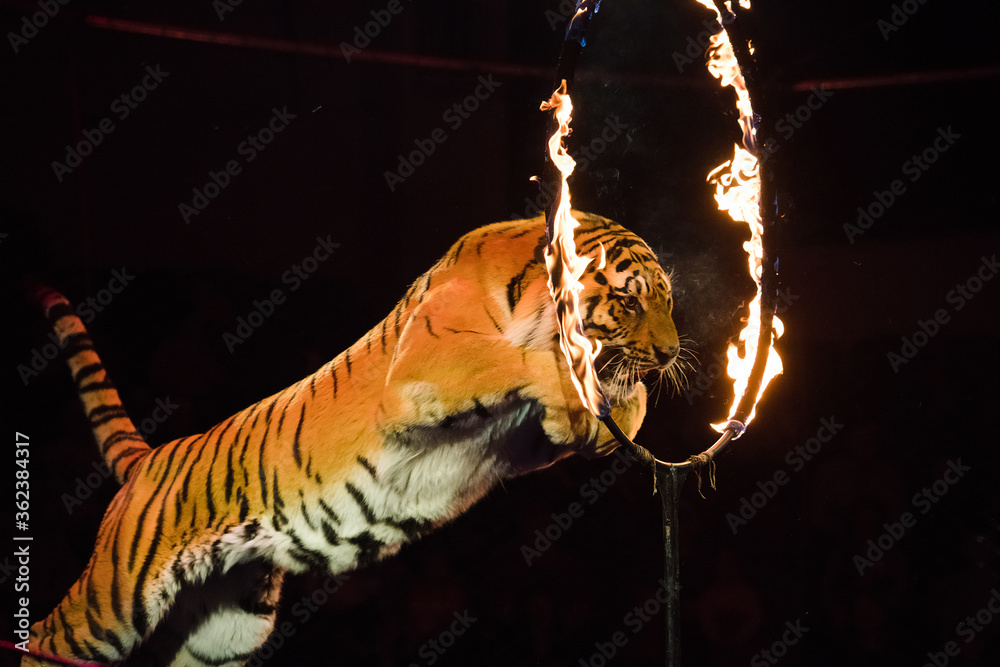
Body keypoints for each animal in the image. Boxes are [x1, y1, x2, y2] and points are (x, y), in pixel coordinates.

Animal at [23, 211, 681, 667]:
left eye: (668, 300)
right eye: (628, 299)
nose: (672, 354)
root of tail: (151, 457)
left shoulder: (516, 442)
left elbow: (617, 400)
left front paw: (610, 416)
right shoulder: (426, 362)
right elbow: (523, 361)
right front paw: (581, 399)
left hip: (226, 630)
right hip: (113, 602)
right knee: (45, 637)